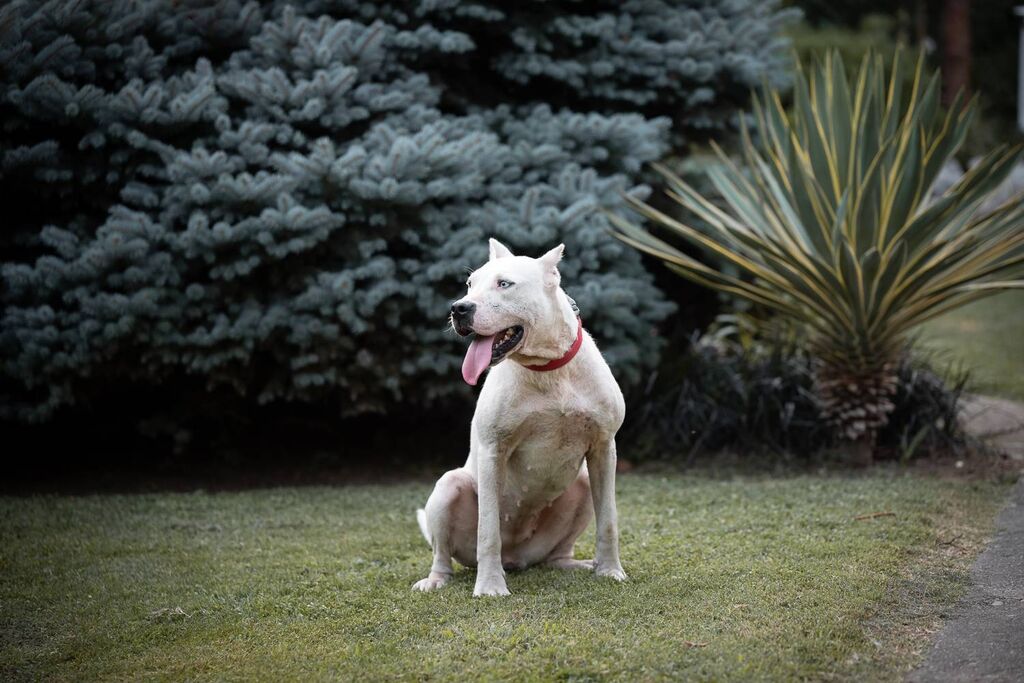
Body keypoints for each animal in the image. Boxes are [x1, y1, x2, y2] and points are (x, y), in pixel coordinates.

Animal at [411, 237, 626, 593]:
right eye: (470, 284)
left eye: (504, 284)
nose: (459, 308)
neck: (548, 368)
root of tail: (517, 558)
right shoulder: (492, 450)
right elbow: (488, 531)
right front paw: (489, 587)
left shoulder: (603, 447)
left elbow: (608, 519)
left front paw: (610, 570)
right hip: (449, 487)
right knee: (444, 554)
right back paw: (436, 580)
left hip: (579, 488)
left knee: (558, 552)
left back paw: (574, 564)